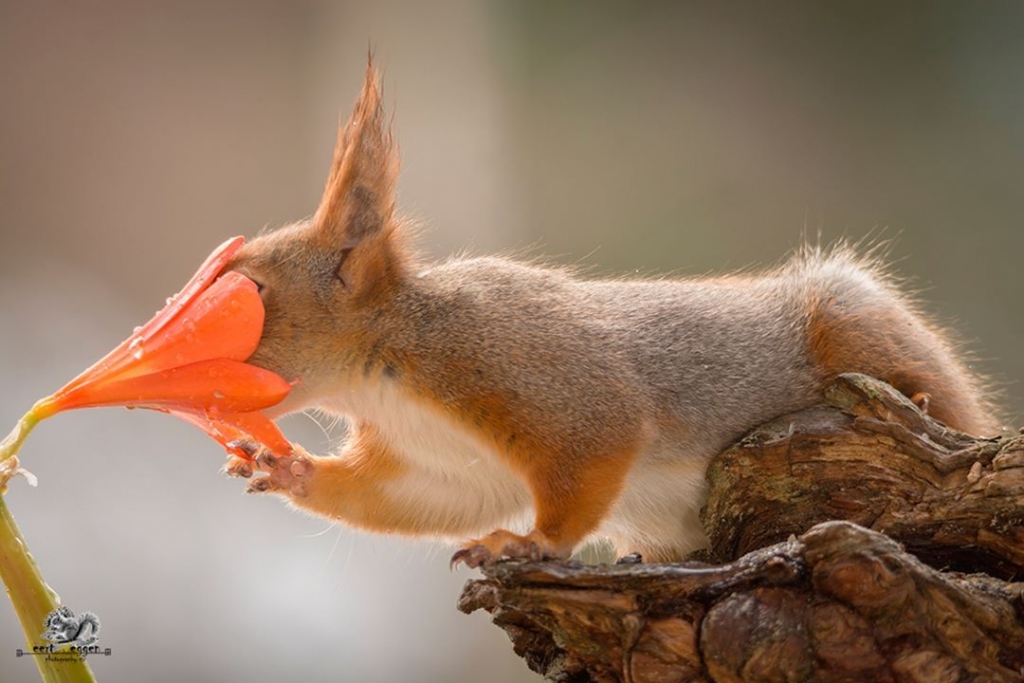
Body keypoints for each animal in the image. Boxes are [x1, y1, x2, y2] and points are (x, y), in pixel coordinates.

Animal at [223, 62, 998, 567]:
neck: (382, 368)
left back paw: (928, 404)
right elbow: (415, 500)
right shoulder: (438, 463)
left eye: (253, 291)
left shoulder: (523, 364)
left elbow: (598, 444)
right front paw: (287, 469)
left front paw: (533, 542)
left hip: (850, 323)